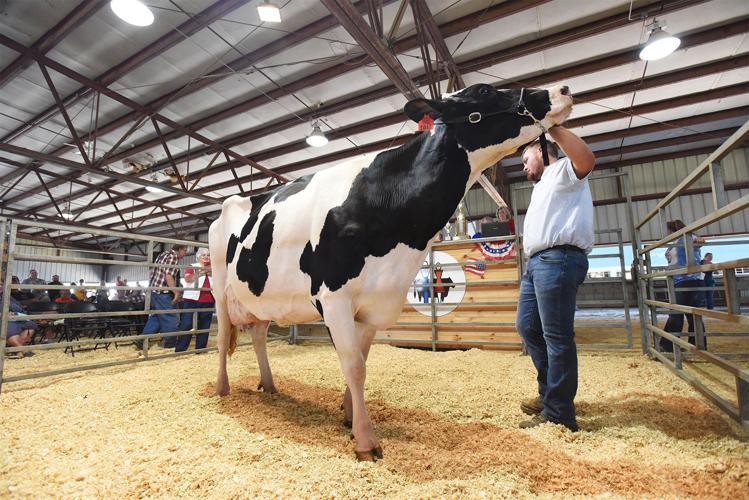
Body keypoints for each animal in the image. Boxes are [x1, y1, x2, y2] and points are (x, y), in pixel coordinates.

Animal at [209, 83, 573, 461]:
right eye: (484, 91)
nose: (561, 89)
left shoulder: (375, 301)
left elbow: (362, 361)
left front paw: (349, 415)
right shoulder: (333, 296)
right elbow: (353, 365)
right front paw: (366, 441)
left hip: (259, 297)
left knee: (258, 335)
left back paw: (269, 385)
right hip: (219, 288)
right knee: (222, 339)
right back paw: (221, 388)